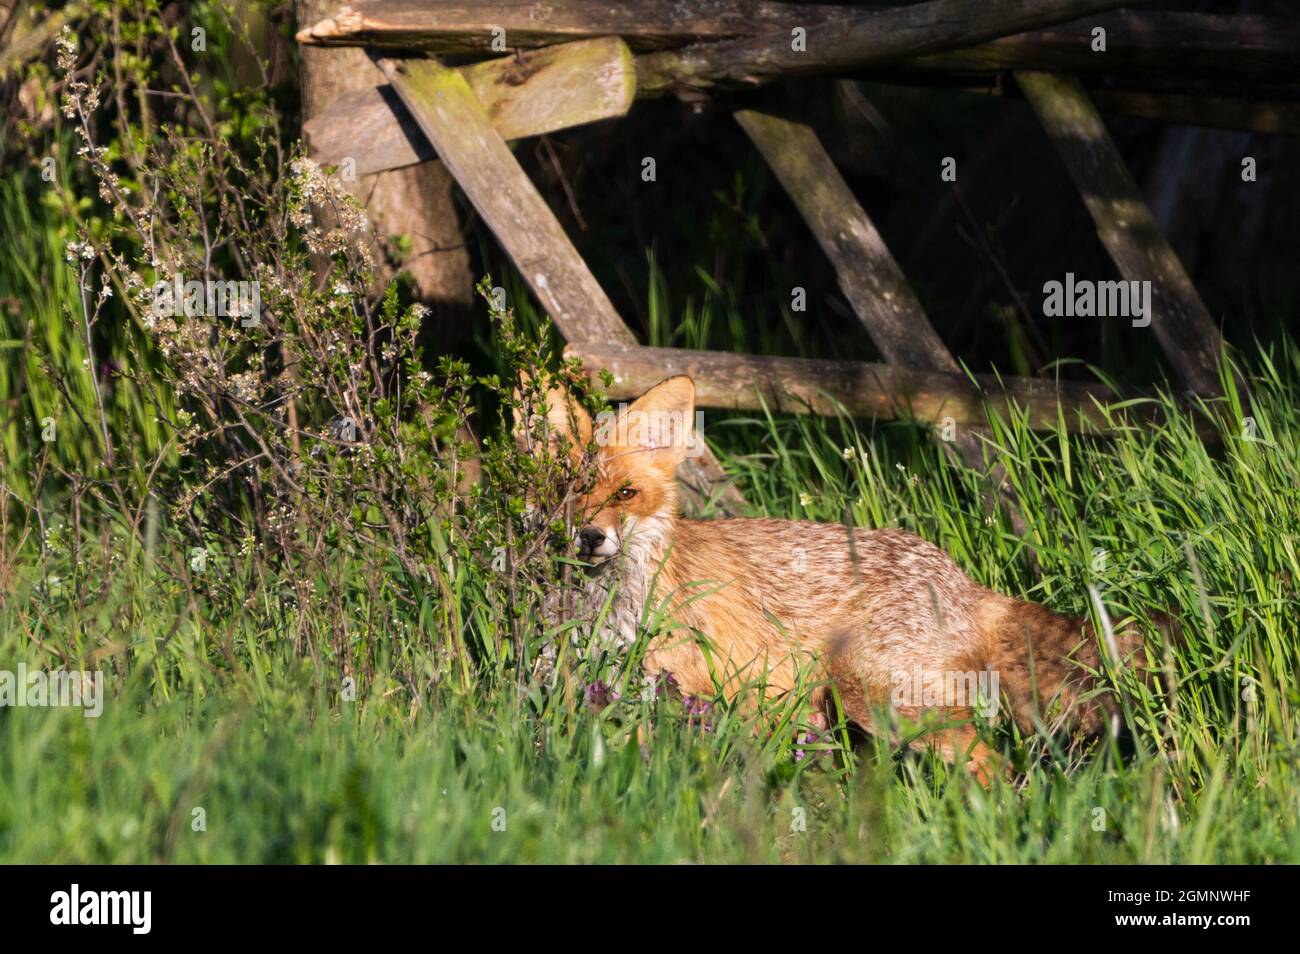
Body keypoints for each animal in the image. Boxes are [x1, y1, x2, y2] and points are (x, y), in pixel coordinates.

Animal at [526, 374, 1173, 784]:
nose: (590, 538)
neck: (607, 612)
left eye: (624, 494)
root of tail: (963, 580)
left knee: (997, 766)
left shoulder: (687, 687)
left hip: (873, 693)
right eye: (564, 490)